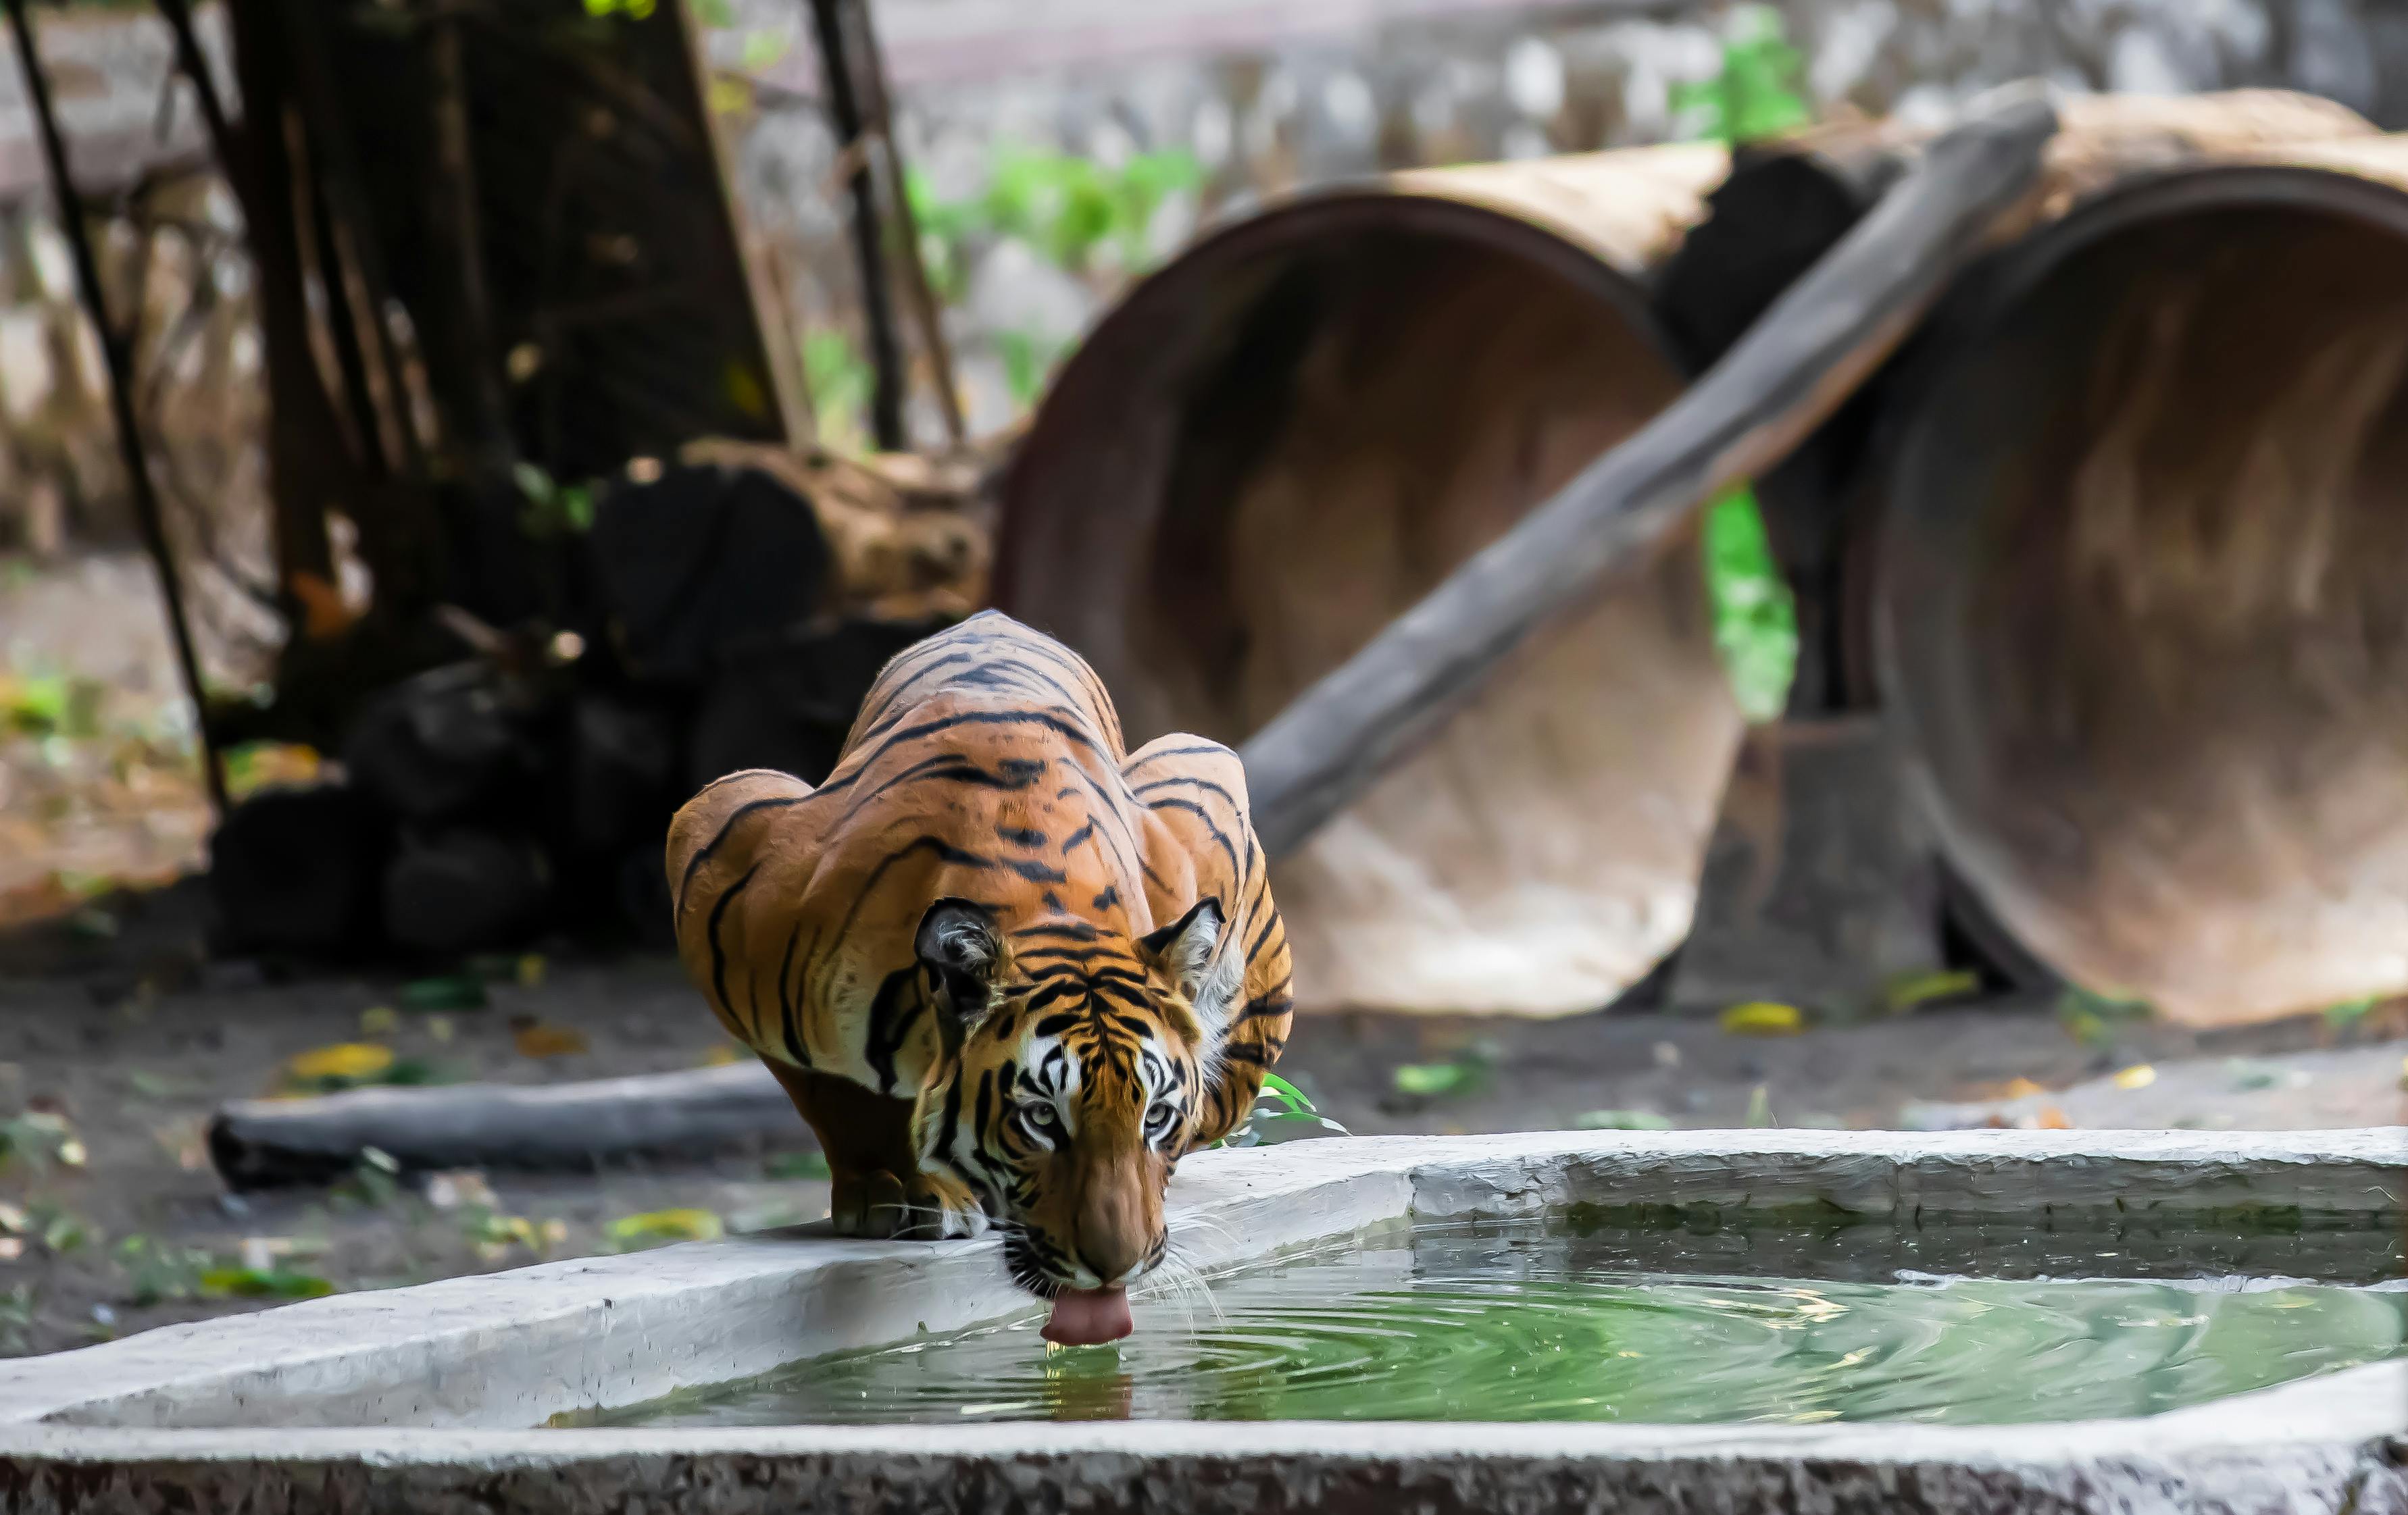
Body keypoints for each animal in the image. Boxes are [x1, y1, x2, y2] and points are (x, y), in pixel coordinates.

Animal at [664, 610, 1294, 1343]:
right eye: (1042, 1118)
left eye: (1158, 1116)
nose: (1119, 1266)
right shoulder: (722, 836)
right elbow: (830, 1092)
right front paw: (888, 1186)